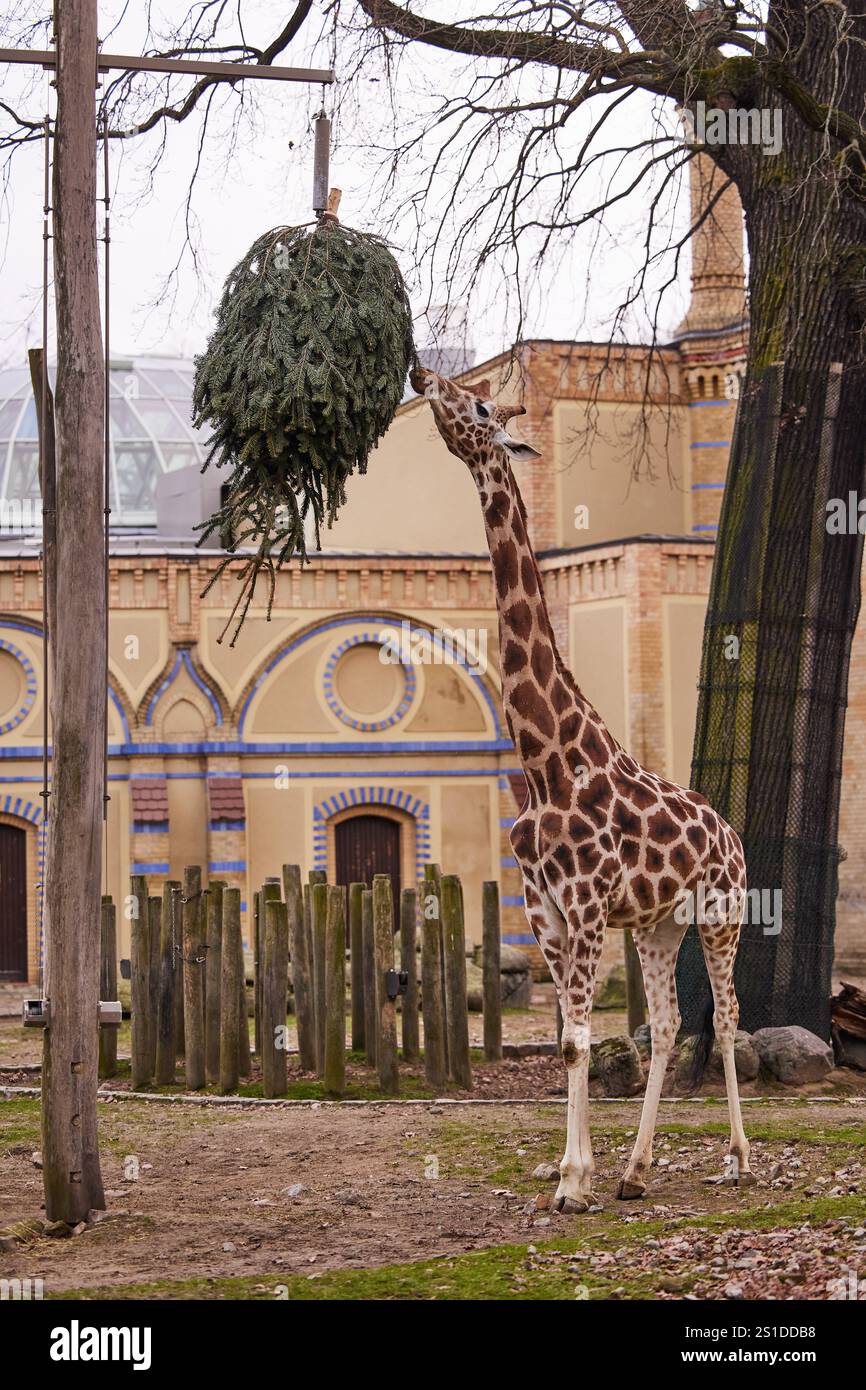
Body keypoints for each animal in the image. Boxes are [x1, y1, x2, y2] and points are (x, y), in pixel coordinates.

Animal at [411, 365, 752, 1213]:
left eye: (477, 405)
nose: (421, 374)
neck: (544, 760)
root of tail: (732, 833)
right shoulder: (547, 908)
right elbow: (571, 1044)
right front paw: (580, 1174)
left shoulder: (590, 902)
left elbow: (576, 1039)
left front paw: (573, 1182)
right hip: (661, 925)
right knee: (668, 1021)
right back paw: (636, 1170)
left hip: (722, 912)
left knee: (728, 1014)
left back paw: (738, 1157)